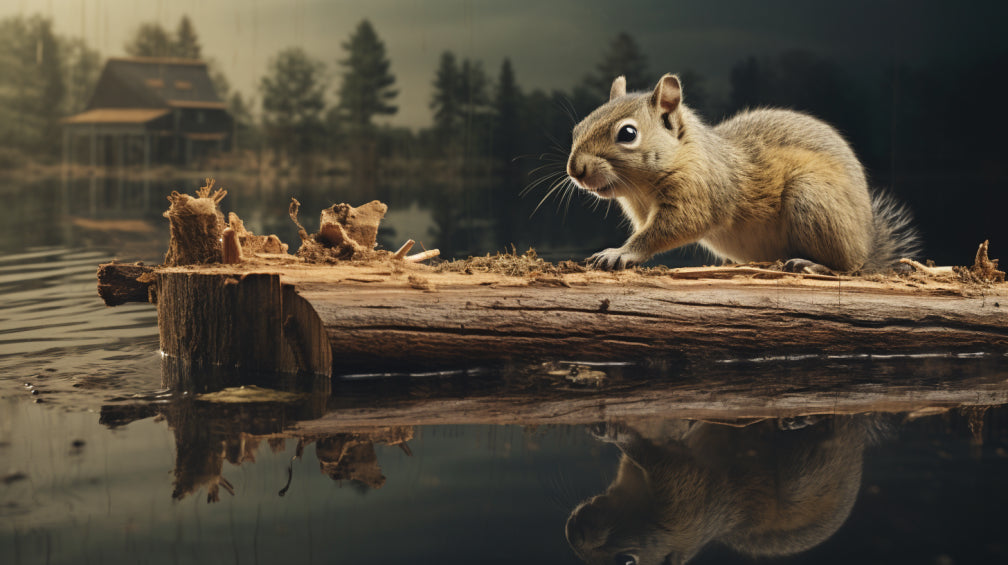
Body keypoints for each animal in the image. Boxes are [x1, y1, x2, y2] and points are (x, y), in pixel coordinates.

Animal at [567, 74, 919, 272]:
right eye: (578, 127)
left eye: (627, 134)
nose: (575, 170)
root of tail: (867, 243)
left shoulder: (701, 194)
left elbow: (666, 230)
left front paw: (620, 253)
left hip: (812, 198)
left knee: (849, 266)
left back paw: (814, 264)